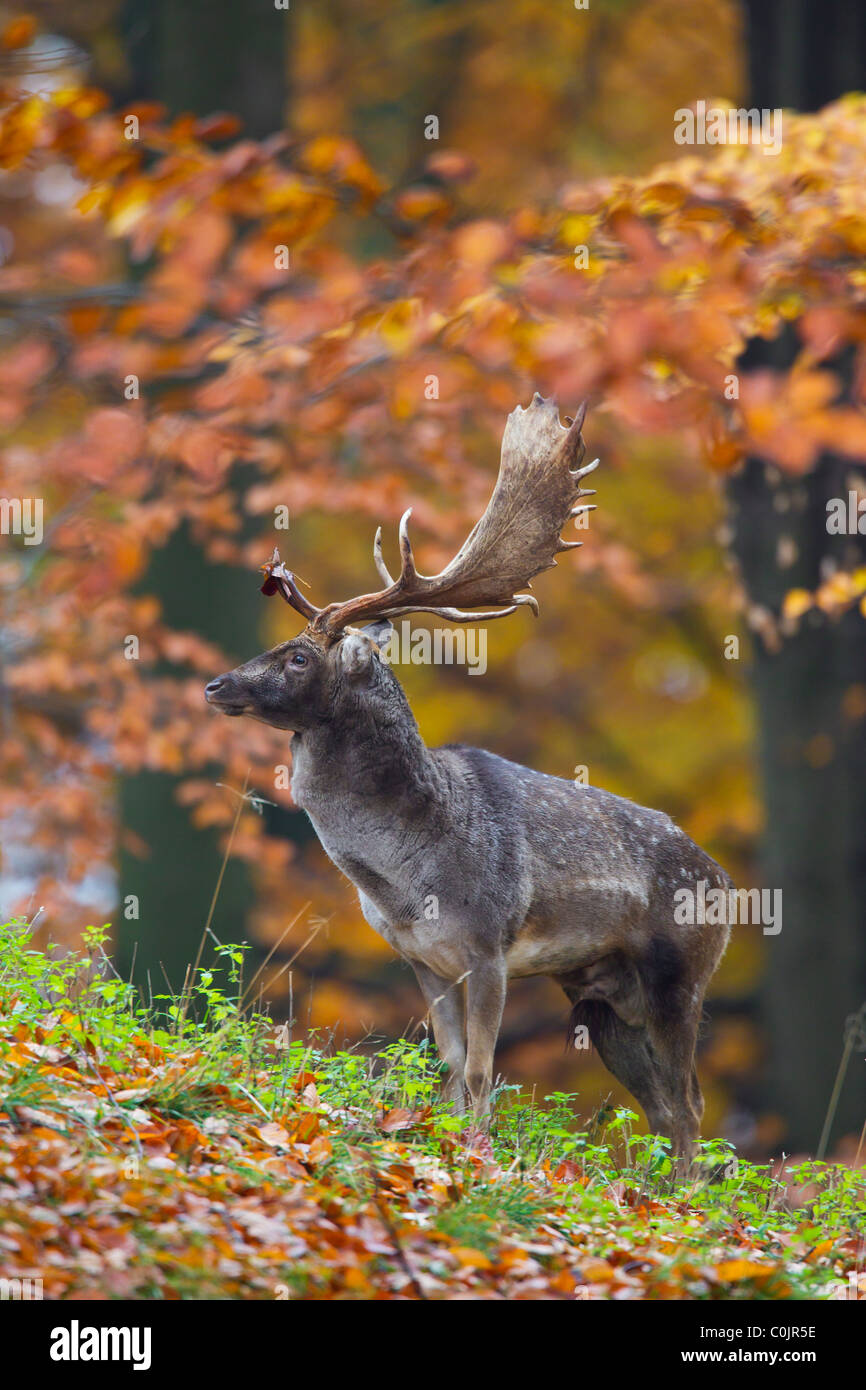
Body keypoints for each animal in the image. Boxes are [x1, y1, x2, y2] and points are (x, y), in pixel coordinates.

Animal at [205, 394, 732, 1158]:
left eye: (300, 657)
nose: (216, 685)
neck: (404, 878)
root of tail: (727, 879)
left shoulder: (489, 945)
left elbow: (482, 1074)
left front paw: (477, 1156)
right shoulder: (423, 959)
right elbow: (452, 1072)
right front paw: (448, 1143)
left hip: (680, 970)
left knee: (689, 1106)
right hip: (601, 995)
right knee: (663, 1107)